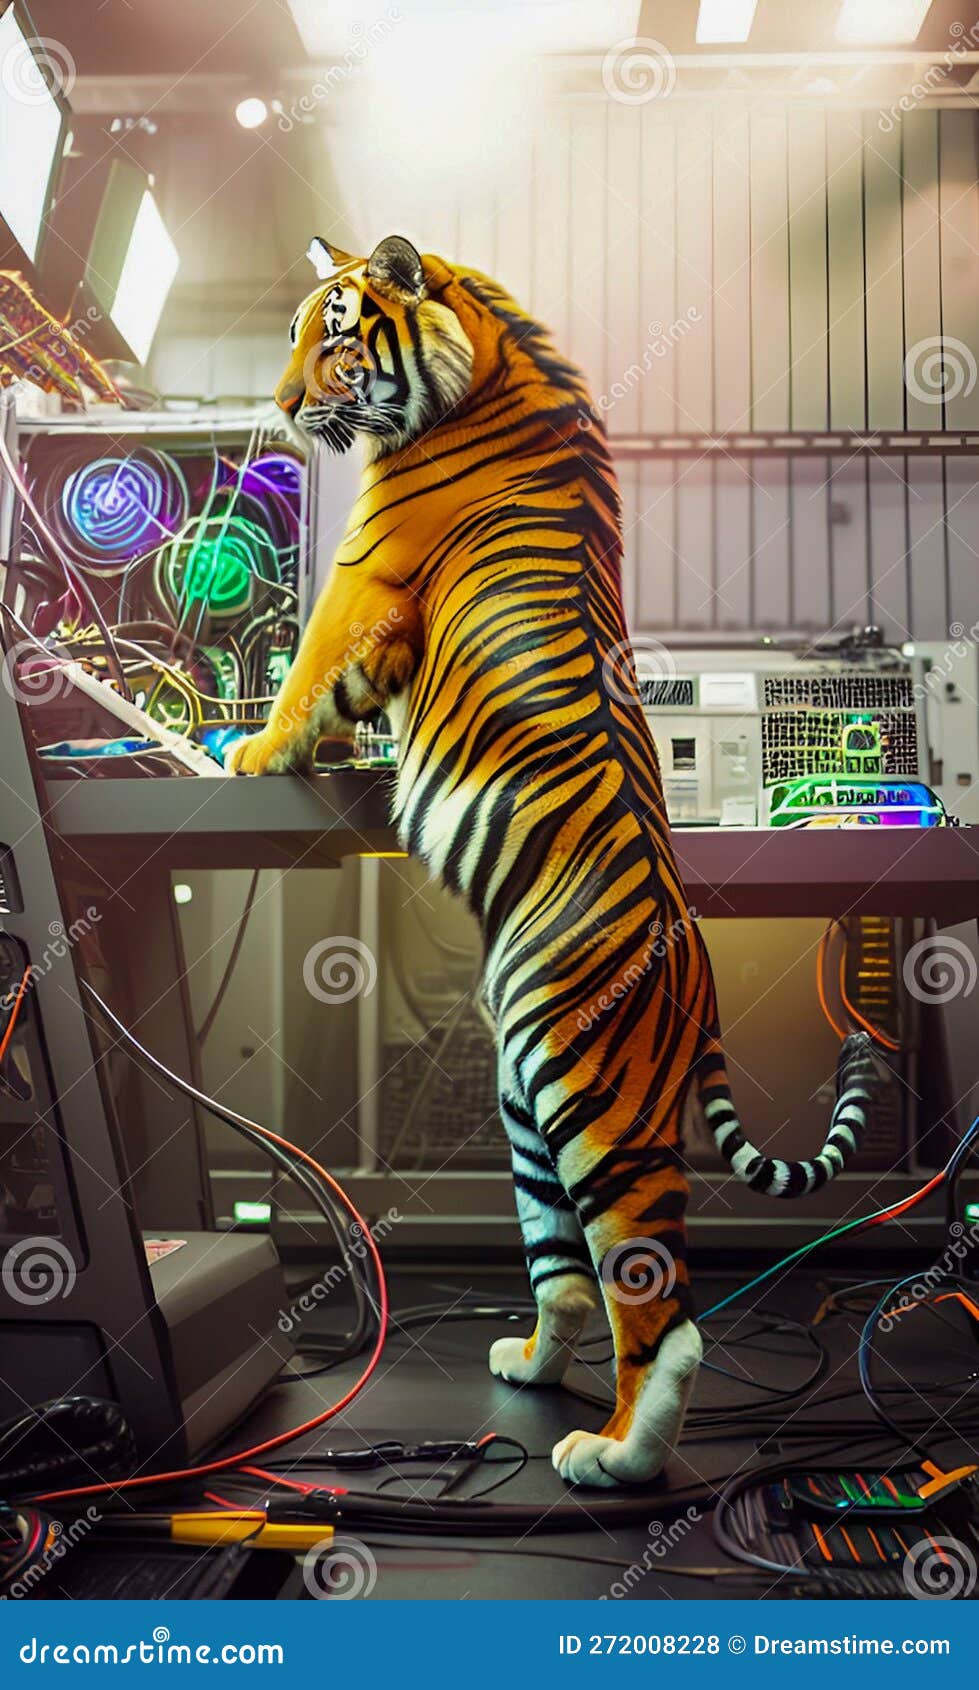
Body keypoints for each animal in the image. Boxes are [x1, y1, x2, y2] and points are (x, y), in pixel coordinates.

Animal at [230, 234, 875, 1487]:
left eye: (331, 339)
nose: (277, 408)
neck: (487, 359)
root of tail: (696, 965)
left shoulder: (361, 585)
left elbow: (305, 677)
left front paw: (251, 750)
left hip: (598, 1110)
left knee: (659, 1309)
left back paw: (615, 1455)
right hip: (525, 1096)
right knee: (566, 1277)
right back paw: (527, 1366)